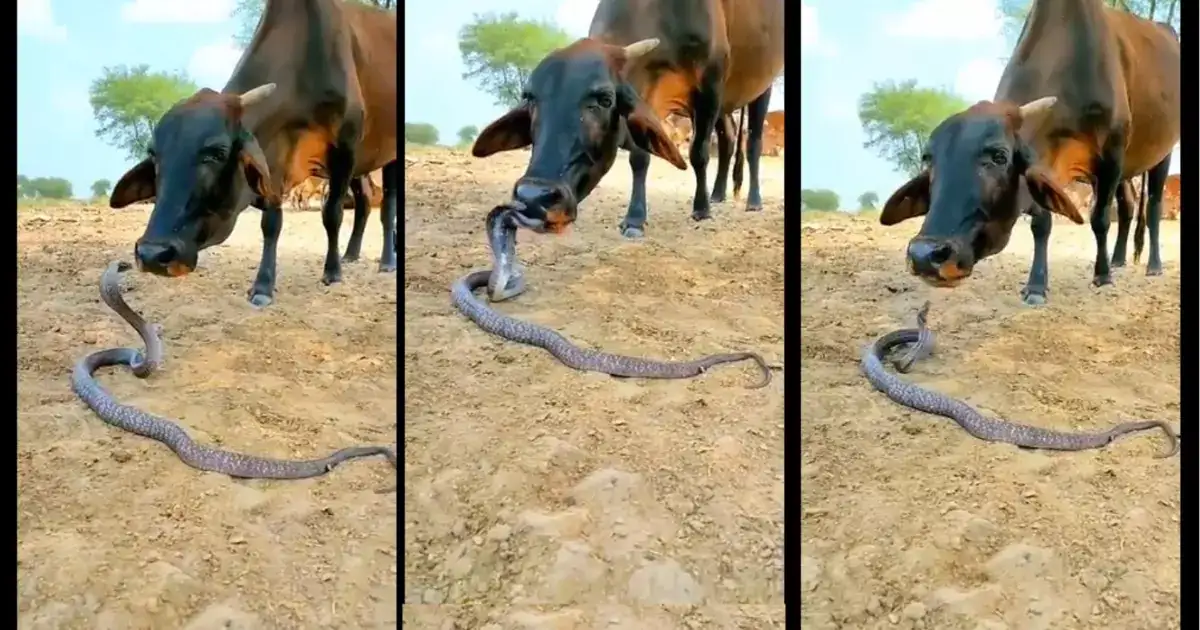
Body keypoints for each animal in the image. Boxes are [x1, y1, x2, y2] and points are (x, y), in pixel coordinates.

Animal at [106, 0, 397, 307]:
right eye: (154, 154)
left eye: (217, 152)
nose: (152, 254)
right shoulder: (276, 165)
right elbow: (271, 223)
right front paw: (263, 286)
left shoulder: (345, 148)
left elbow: (332, 213)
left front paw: (332, 273)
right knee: (365, 200)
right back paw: (351, 254)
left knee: (386, 204)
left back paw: (386, 261)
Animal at [471, 0, 785, 248]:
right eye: (530, 97)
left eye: (605, 99)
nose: (534, 198)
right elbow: (639, 158)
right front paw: (634, 218)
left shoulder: (710, 88)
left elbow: (699, 153)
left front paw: (701, 208)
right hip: (726, 109)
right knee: (730, 139)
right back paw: (719, 193)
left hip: (761, 89)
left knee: (753, 143)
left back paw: (753, 200)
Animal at [877, 1, 1179, 306]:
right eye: (929, 159)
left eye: (999, 157)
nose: (925, 255)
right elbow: (1041, 224)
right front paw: (1036, 285)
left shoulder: (1111, 156)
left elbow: (1100, 219)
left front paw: (1102, 276)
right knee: (1128, 205)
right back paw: (1118, 259)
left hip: (1161, 156)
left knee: (1152, 206)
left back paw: (1153, 265)